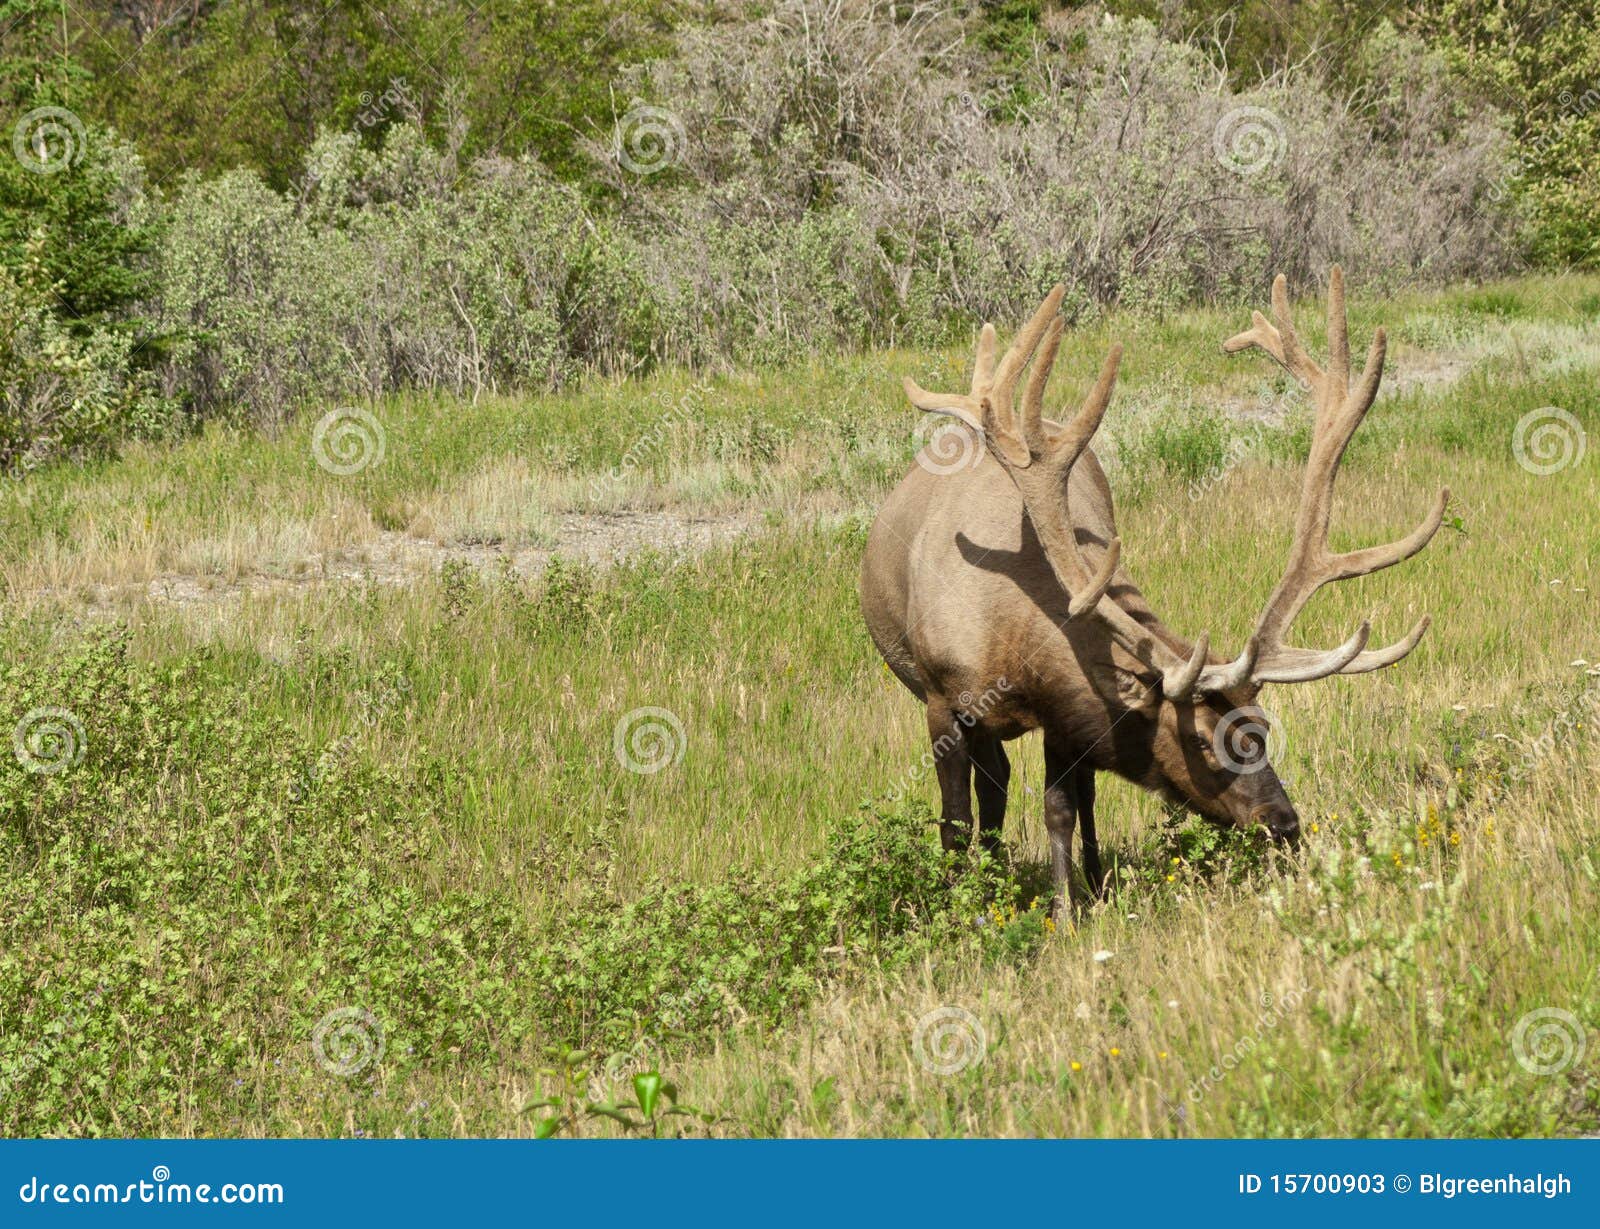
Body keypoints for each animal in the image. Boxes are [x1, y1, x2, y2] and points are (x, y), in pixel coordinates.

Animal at [860, 268, 1448, 908]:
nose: (1285, 824)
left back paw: (1082, 878)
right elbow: (954, 821)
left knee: (1040, 792)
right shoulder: (942, 700)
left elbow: (1061, 811)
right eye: (1210, 741)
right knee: (990, 794)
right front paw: (963, 902)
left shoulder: (1065, 715)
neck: (1008, 637)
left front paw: (1068, 908)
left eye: (1263, 728)